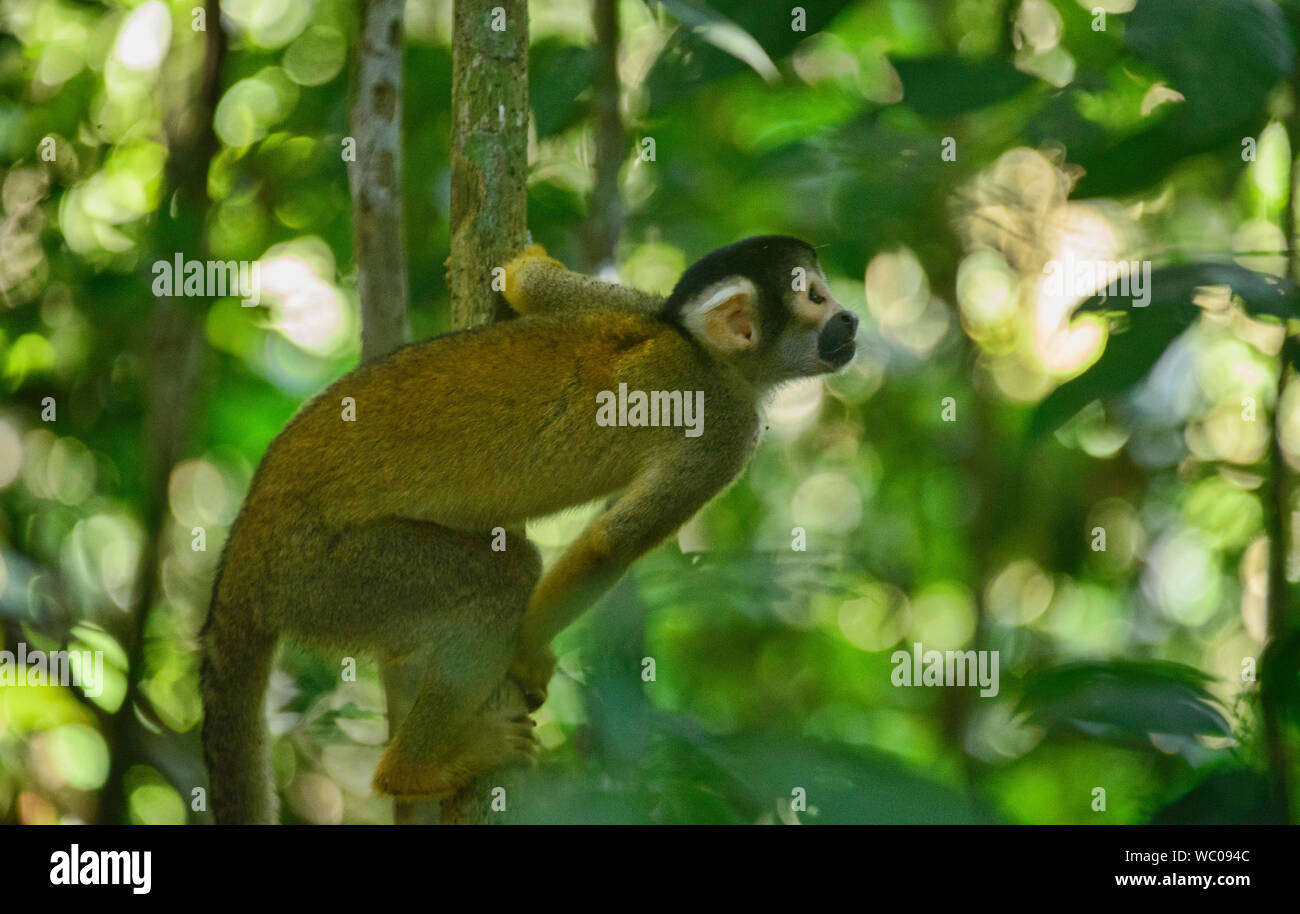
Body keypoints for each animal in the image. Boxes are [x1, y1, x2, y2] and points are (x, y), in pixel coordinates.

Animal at [199, 235, 857, 823]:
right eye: (815, 298)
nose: (849, 317)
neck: (701, 351)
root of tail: (248, 537)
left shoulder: (647, 310)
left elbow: (531, 285)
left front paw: (526, 264)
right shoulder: (725, 429)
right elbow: (609, 546)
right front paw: (528, 653)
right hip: (323, 574)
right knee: (499, 580)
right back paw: (413, 771)